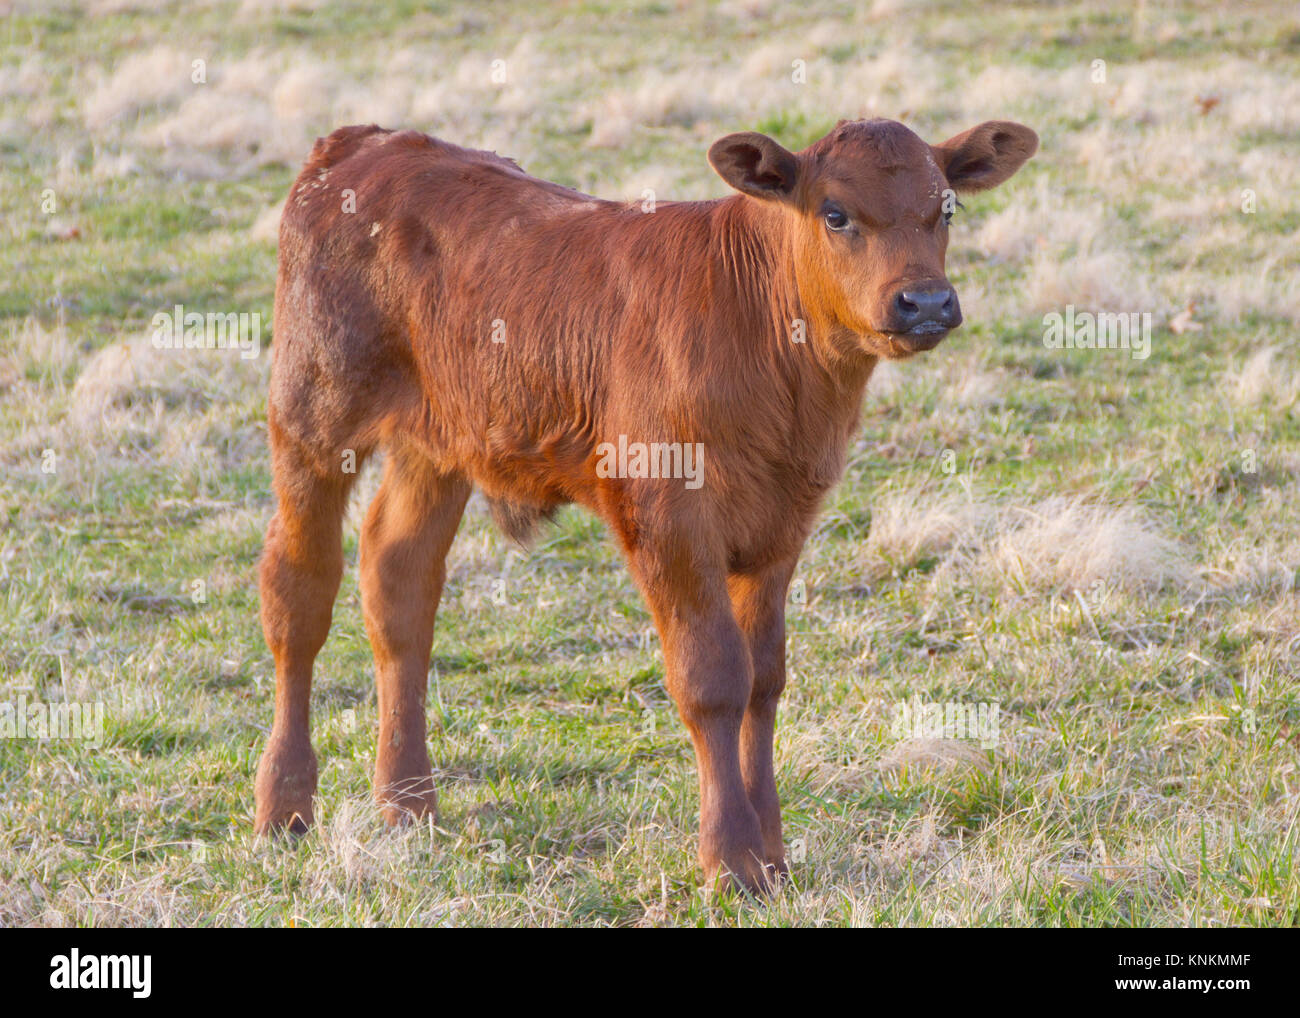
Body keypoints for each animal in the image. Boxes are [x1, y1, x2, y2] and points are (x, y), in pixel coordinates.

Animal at [253, 116, 1038, 894]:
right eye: (835, 213)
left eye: (945, 208)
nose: (926, 302)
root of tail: (368, 140)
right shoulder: (668, 520)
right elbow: (713, 679)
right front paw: (731, 858)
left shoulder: (782, 526)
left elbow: (765, 679)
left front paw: (774, 854)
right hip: (312, 416)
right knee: (299, 591)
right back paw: (285, 805)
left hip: (438, 443)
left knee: (399, 583)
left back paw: (408, 803)